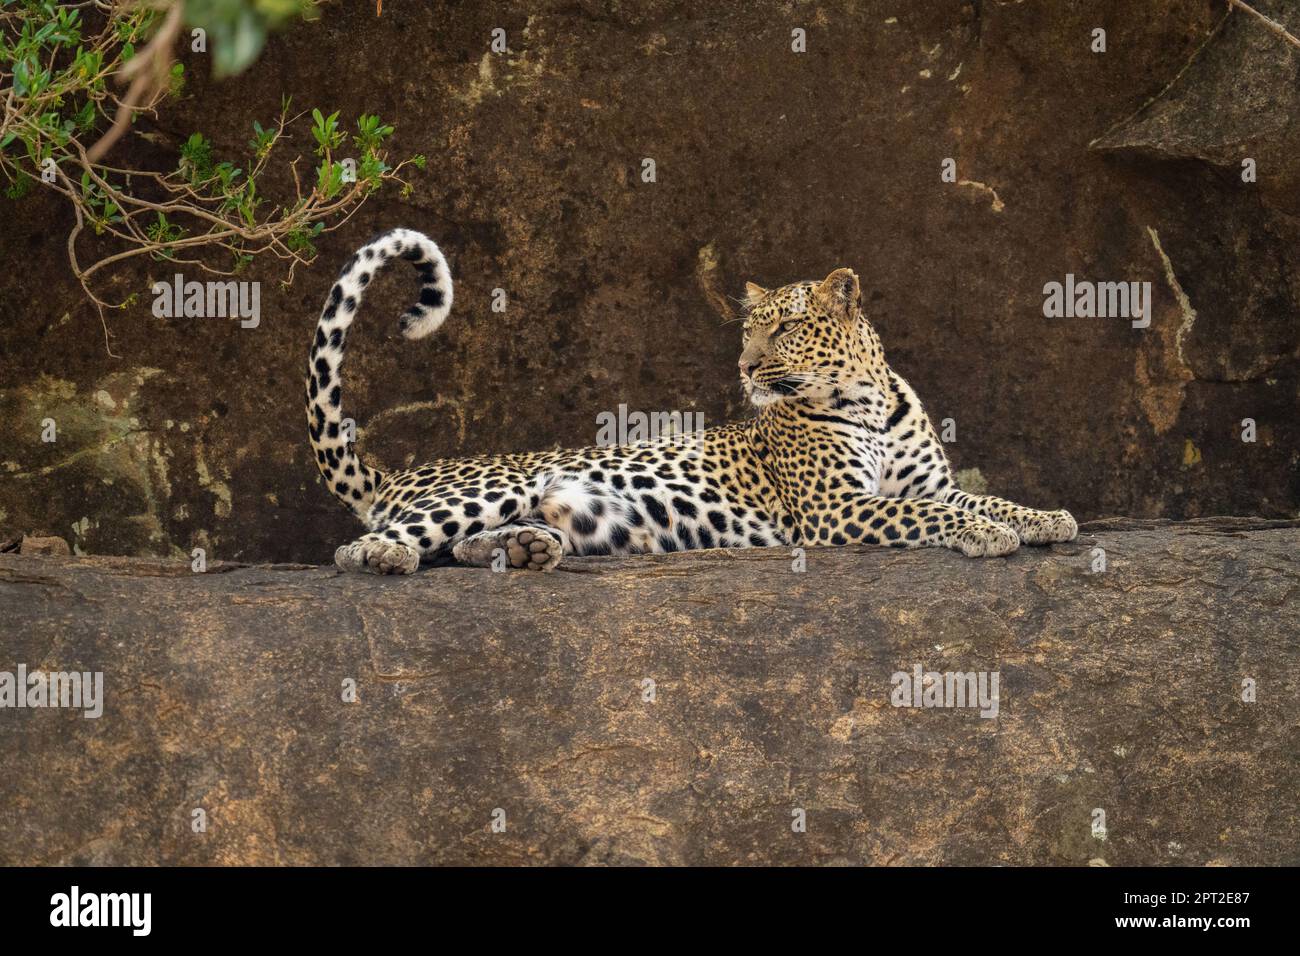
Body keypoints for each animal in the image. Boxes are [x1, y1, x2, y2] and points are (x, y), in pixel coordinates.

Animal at [305, 227, 1077, 574]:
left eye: (785, 327)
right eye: (748, 327)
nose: (744, 364)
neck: (867, 399)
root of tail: (396, 472)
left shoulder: (924, 484)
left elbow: (978, 497)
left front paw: (1046, 518)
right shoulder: (835, 509)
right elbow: (932, 515)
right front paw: (986, 534)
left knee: (466, 546)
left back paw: (524, 548)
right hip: (498, 485)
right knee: (356, 546)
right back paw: (387, 557)